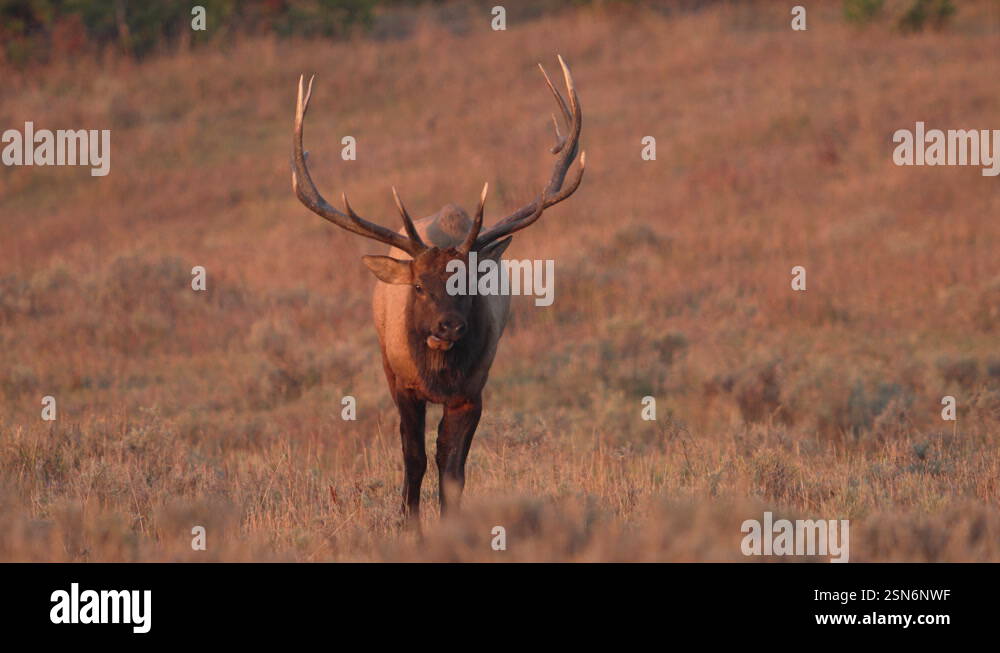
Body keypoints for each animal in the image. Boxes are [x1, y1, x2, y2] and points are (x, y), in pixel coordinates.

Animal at [291, 56, 585, 524]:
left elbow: (452, 467)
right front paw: (408, 524)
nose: (449, 326)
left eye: (469, 281)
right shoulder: (402, 385)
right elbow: (414, 460)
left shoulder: (473, 390)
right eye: (418, 285)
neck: (439, 373)